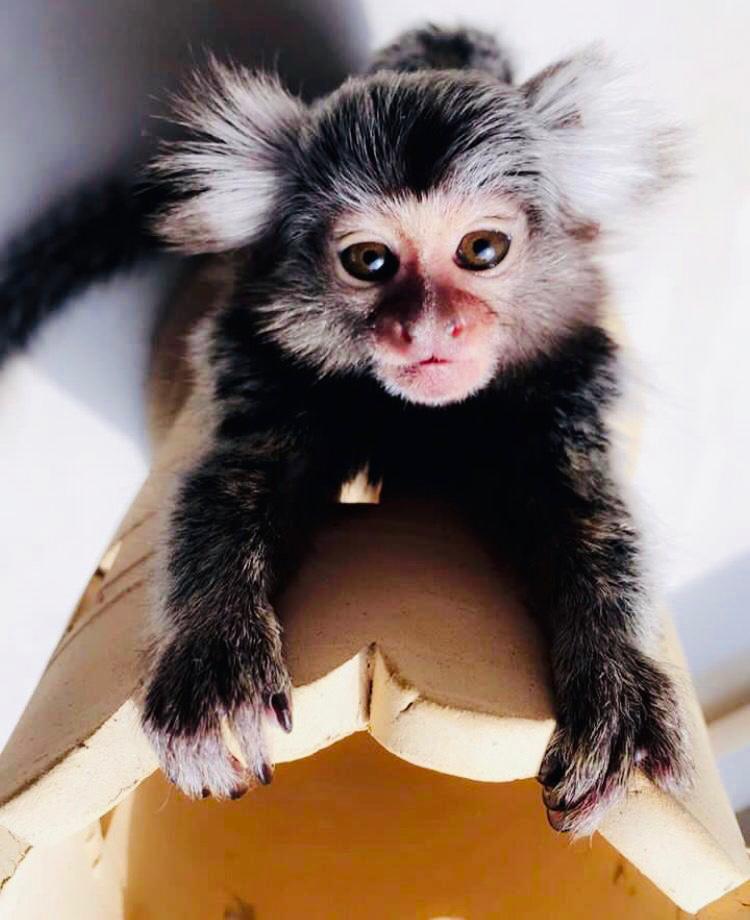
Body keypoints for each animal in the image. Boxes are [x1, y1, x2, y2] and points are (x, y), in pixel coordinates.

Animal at [0, 24, 690, 835]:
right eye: (369, 260)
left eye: (482, 250)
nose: (429, 327)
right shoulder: (262, 361)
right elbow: (228, 482)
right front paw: (213, 652)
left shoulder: (572, 380)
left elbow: (590, 511)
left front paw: (618, 680)